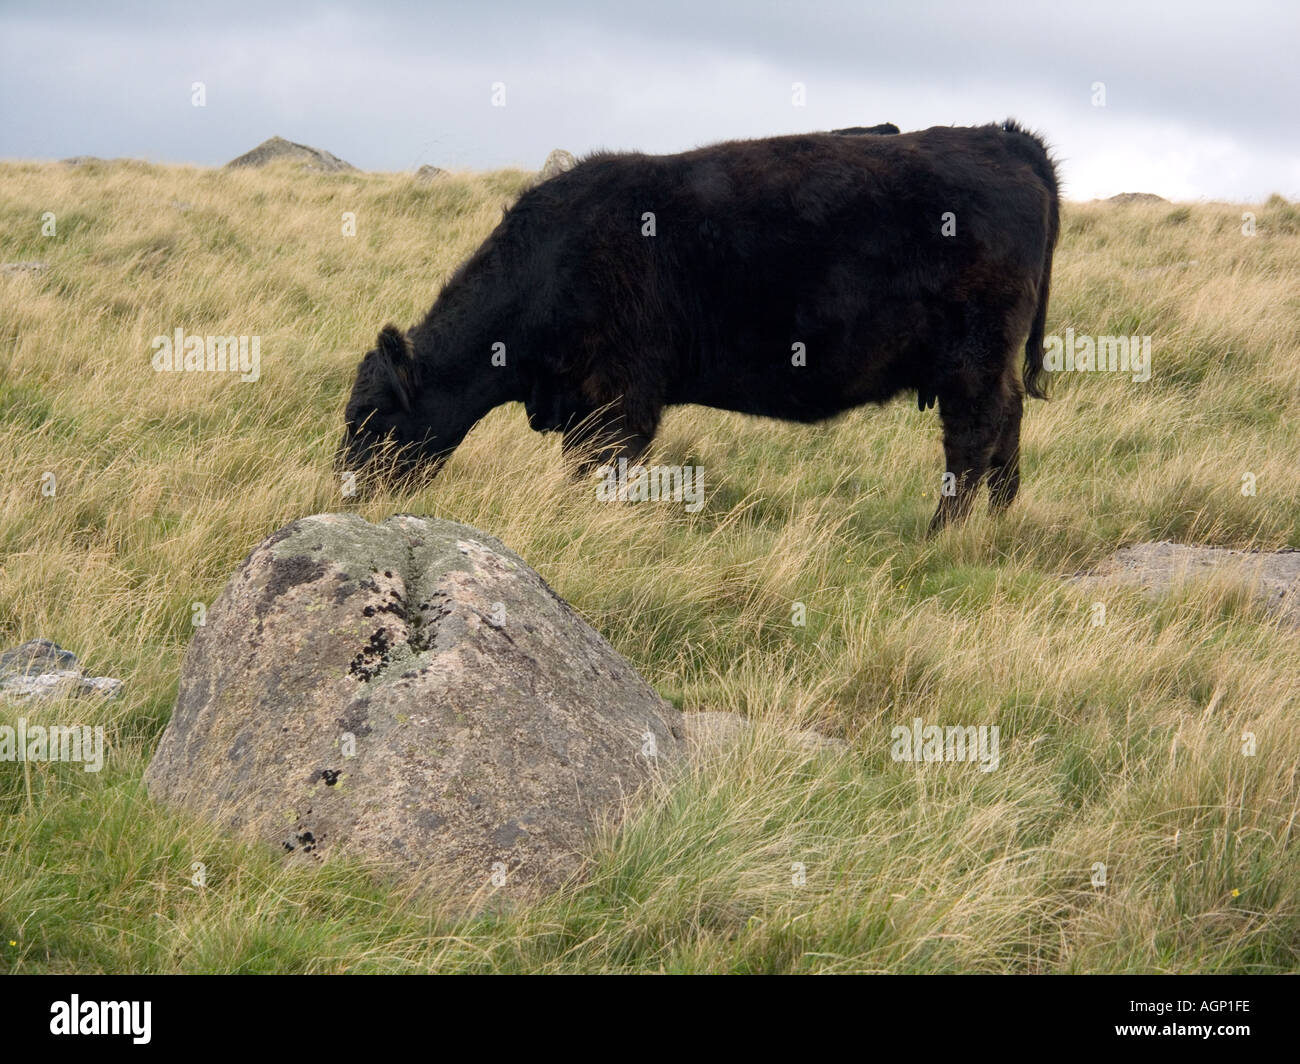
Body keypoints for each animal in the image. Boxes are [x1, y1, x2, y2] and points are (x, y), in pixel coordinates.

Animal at [340, 120, 1059, 532]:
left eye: (370, 418)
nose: (347, 496)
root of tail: (1001, 137)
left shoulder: (617, 401)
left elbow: (593, 468)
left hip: (971, 361)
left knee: (972, 438)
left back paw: (943, 530)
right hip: (989, 362)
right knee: (1007, 425)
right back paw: (999, 517)